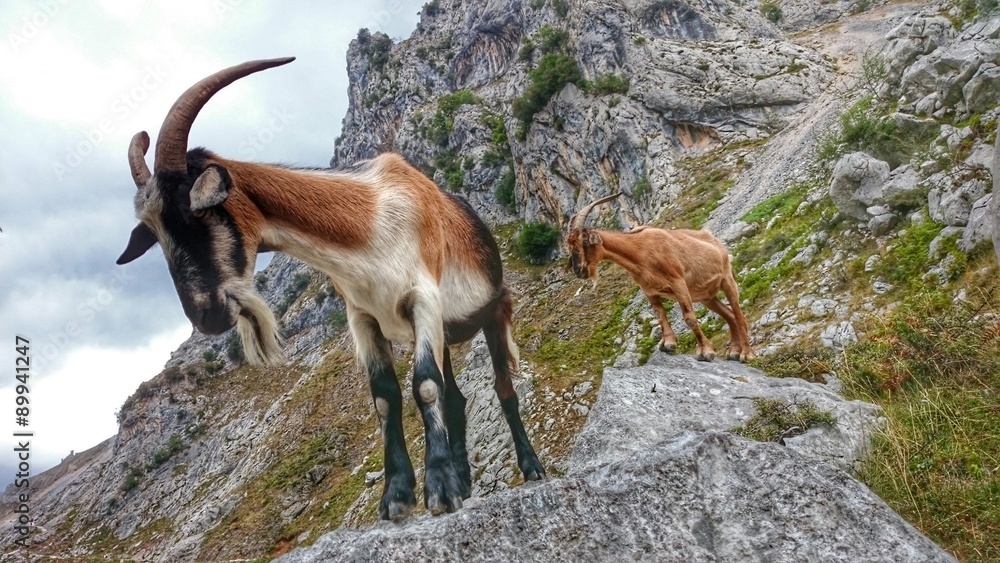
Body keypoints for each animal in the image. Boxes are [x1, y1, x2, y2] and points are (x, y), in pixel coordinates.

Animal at [116, 58, 544, 520]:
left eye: (195, 213)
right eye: (156, 235)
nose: (206, 315)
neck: (368, 222)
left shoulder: (423, 299)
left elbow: (425, 386)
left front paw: (440, 492)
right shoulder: (363, 317)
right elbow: (385, 398)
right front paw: (398, 497)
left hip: (494, 311)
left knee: (503, 389)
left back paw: (531, 468)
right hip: (443, 333)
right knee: (458, 400)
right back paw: (465, 480)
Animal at [565, 193, 756, 362]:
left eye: (585, 240)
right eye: (569, 244)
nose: (579, 270)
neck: (640, 252)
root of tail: (716, 242)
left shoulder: (678, 283)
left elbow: (690, 318)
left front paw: (705, 352)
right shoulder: (649, 290)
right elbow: (659, 315)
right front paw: (668, 343)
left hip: (727, 280)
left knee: (739, 315)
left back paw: (747, 354)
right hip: (707, 297)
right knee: (729, 315)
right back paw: (734, 351)